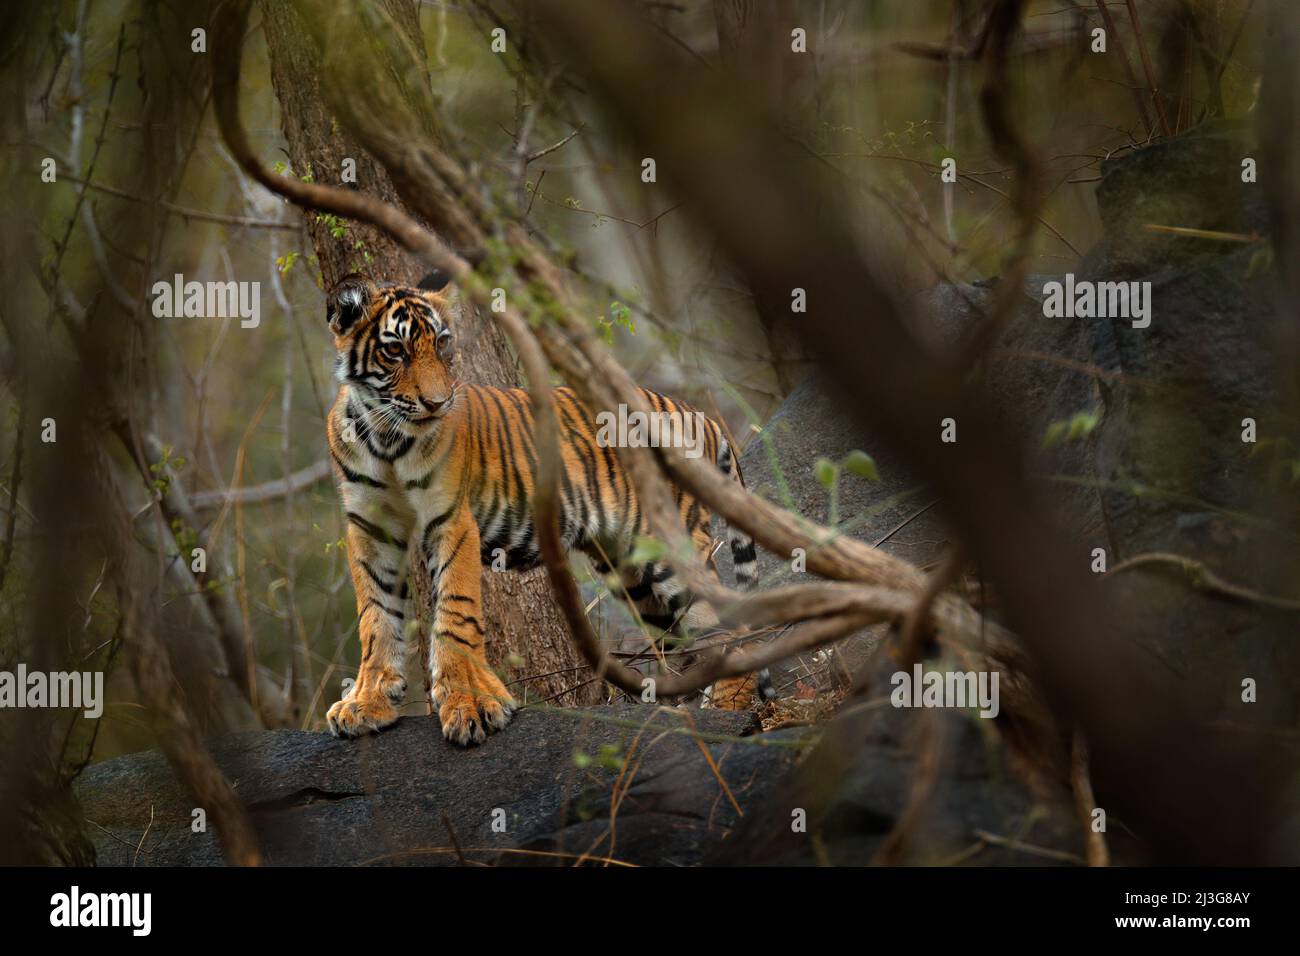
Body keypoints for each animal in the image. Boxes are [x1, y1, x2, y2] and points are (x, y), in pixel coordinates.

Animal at [321, 272, 766, 746]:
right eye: (395, 351)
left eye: (442, 344)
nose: (438, 404)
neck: (385, 438)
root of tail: (700, 414)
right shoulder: (371, 527)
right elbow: (376, 615)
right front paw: (367, 702)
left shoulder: (451, 520)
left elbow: (455, 611)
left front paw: (471, 704)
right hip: (632, 572)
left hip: (668, 548)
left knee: (735, 629)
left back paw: (725, 713)